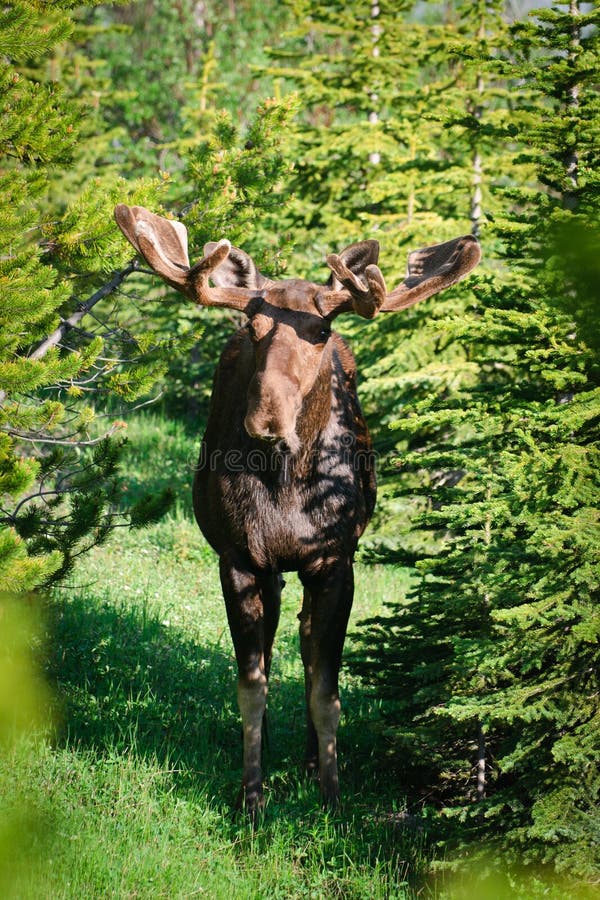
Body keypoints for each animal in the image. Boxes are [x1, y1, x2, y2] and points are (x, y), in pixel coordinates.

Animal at [114, 203, 481, 817]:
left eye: (321, 331)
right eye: (250, 329)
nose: (266, 418)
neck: (286, 487)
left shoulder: (335, 560)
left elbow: (326, 688)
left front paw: (332, 798)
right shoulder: (238, 558)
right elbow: (251, 685)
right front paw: (252, 797)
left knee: (309, 645)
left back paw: (312, 764)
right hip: (269, 570)